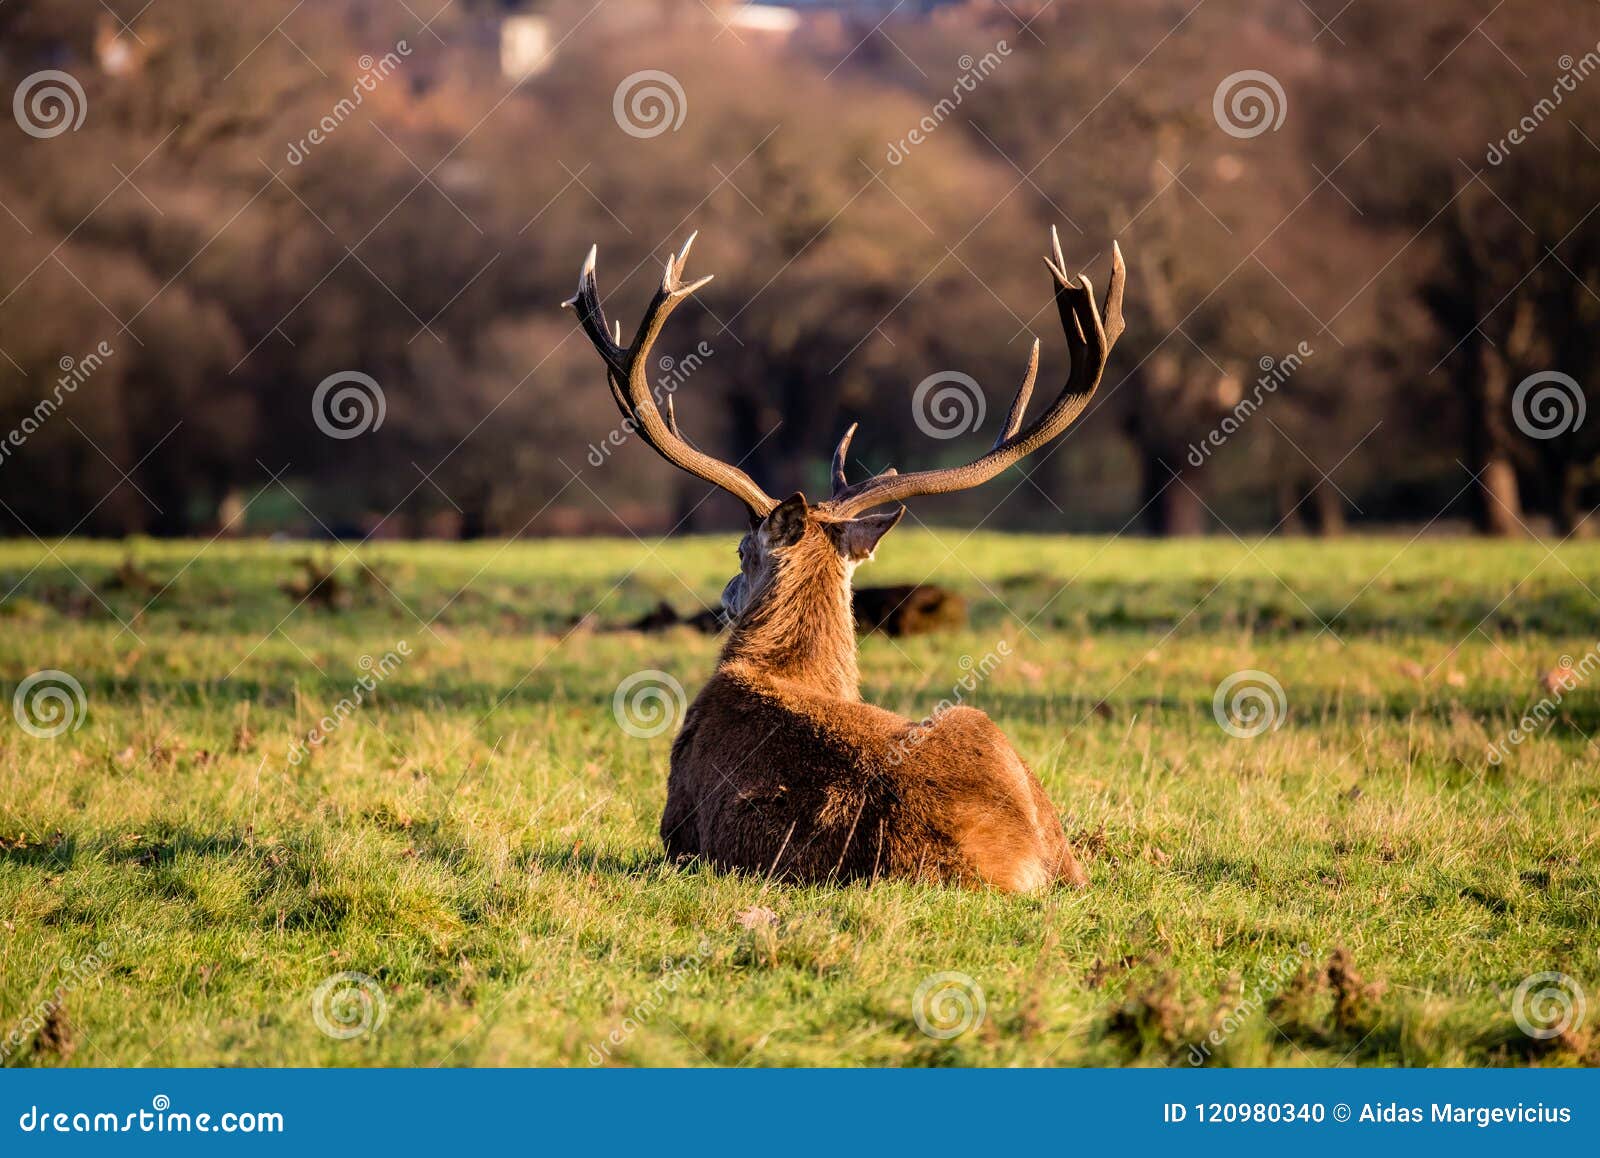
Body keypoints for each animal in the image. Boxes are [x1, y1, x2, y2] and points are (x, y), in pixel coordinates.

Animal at [564, 228, 1126, 893]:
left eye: (741, 550)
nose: (725, 596)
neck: (790, 669)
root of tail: (1022, 863)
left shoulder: (679, 829)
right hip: (1006, 753)